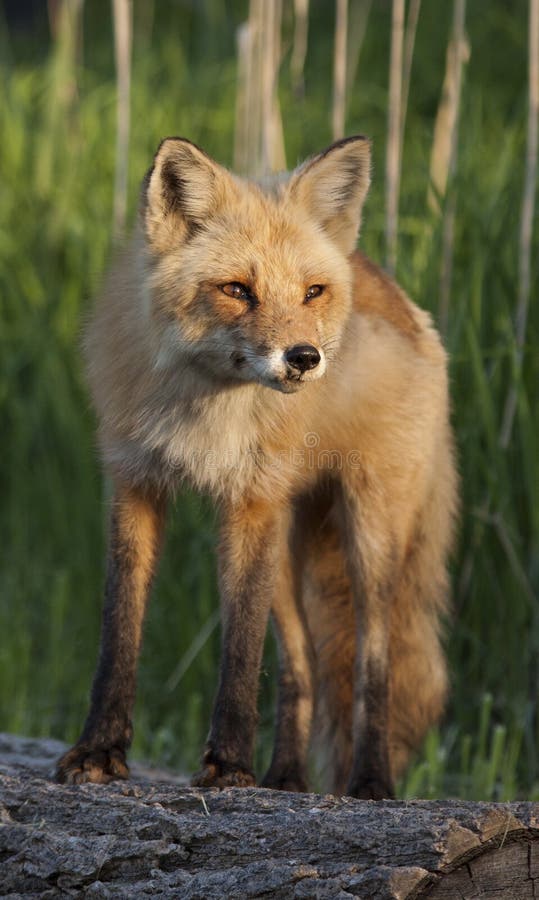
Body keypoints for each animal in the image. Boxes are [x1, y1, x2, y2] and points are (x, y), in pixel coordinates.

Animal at [55, 135, 457, 799]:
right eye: (238, 290)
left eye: (312, 293)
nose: (304, 358)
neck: (204, 411)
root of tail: (394, 291)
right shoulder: (135, 481)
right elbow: (119, 630)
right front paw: (99, 751)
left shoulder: (251, 499)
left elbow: (240, 651)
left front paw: (228, 767)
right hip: (290, 556)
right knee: (302, 668)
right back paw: (285, 777)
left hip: (369, 535)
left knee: (373, 664)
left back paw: (370, 782)